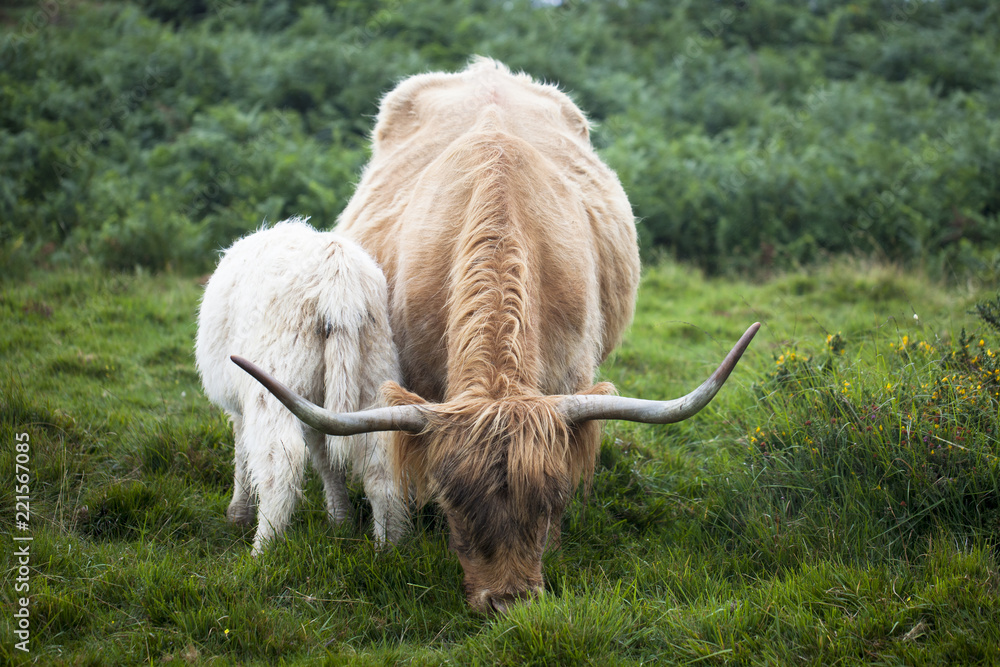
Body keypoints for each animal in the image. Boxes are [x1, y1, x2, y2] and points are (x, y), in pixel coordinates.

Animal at [196, 218, 407, 554]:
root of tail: (338, 280)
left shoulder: (246, 405)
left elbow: (241, 452)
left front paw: (238, 514)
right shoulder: (315, 407)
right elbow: (327, 458)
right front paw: (340, 520)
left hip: (274, 379)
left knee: (281, 464)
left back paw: (263, 549)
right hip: (374, 372)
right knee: (381, 465)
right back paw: (388, 549)